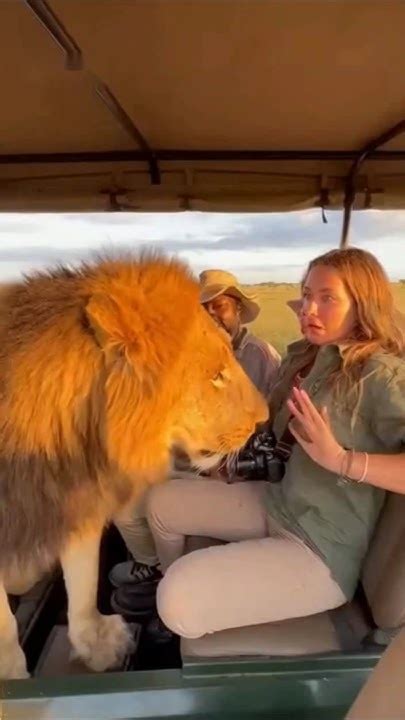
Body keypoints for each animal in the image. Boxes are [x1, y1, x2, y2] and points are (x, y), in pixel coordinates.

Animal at [0, 253, 268, 680]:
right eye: (216, 375)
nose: (265, 420)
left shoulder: (81, 495)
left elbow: (84, 580)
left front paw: (97, 643)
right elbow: (8, 624)